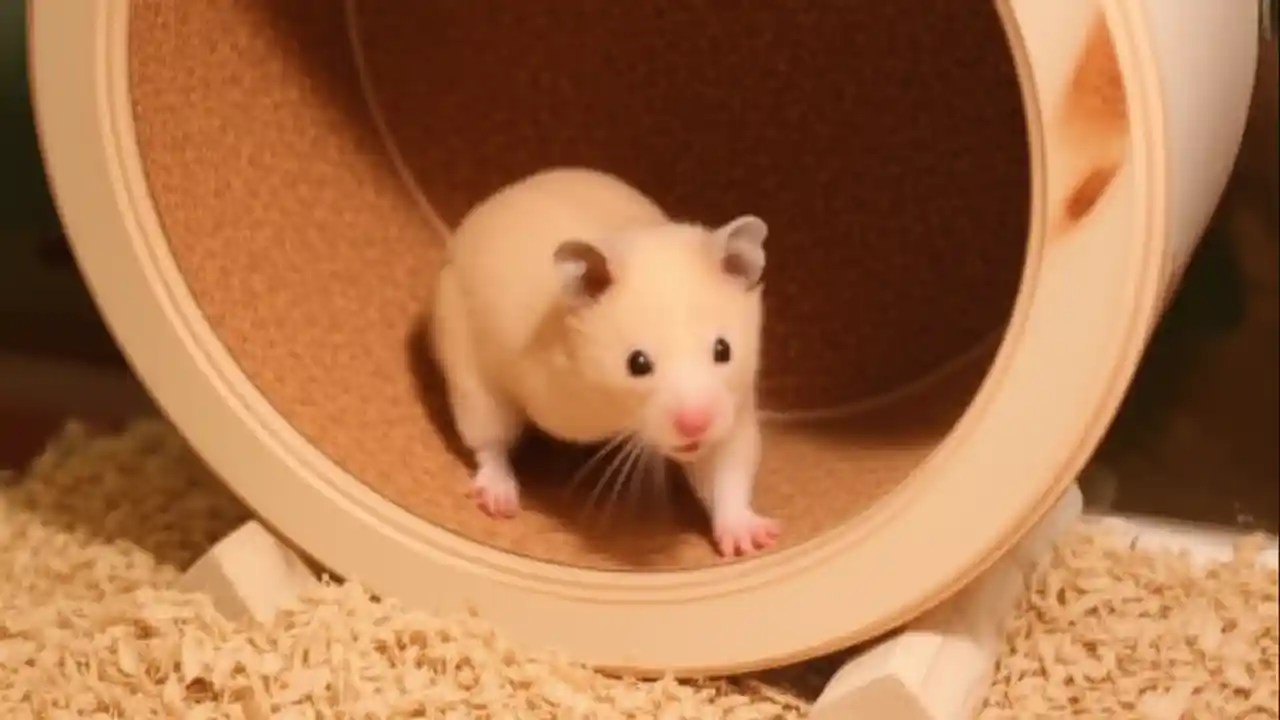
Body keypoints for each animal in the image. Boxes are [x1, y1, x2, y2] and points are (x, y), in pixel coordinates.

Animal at [429, 167, 779, 557]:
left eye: (723, 350)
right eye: (637, 363)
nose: (695, 426)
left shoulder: (732, 412)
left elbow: (726, 473)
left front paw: (753, 541)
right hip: (468, 369)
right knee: (488, 437)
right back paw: (499, 502)